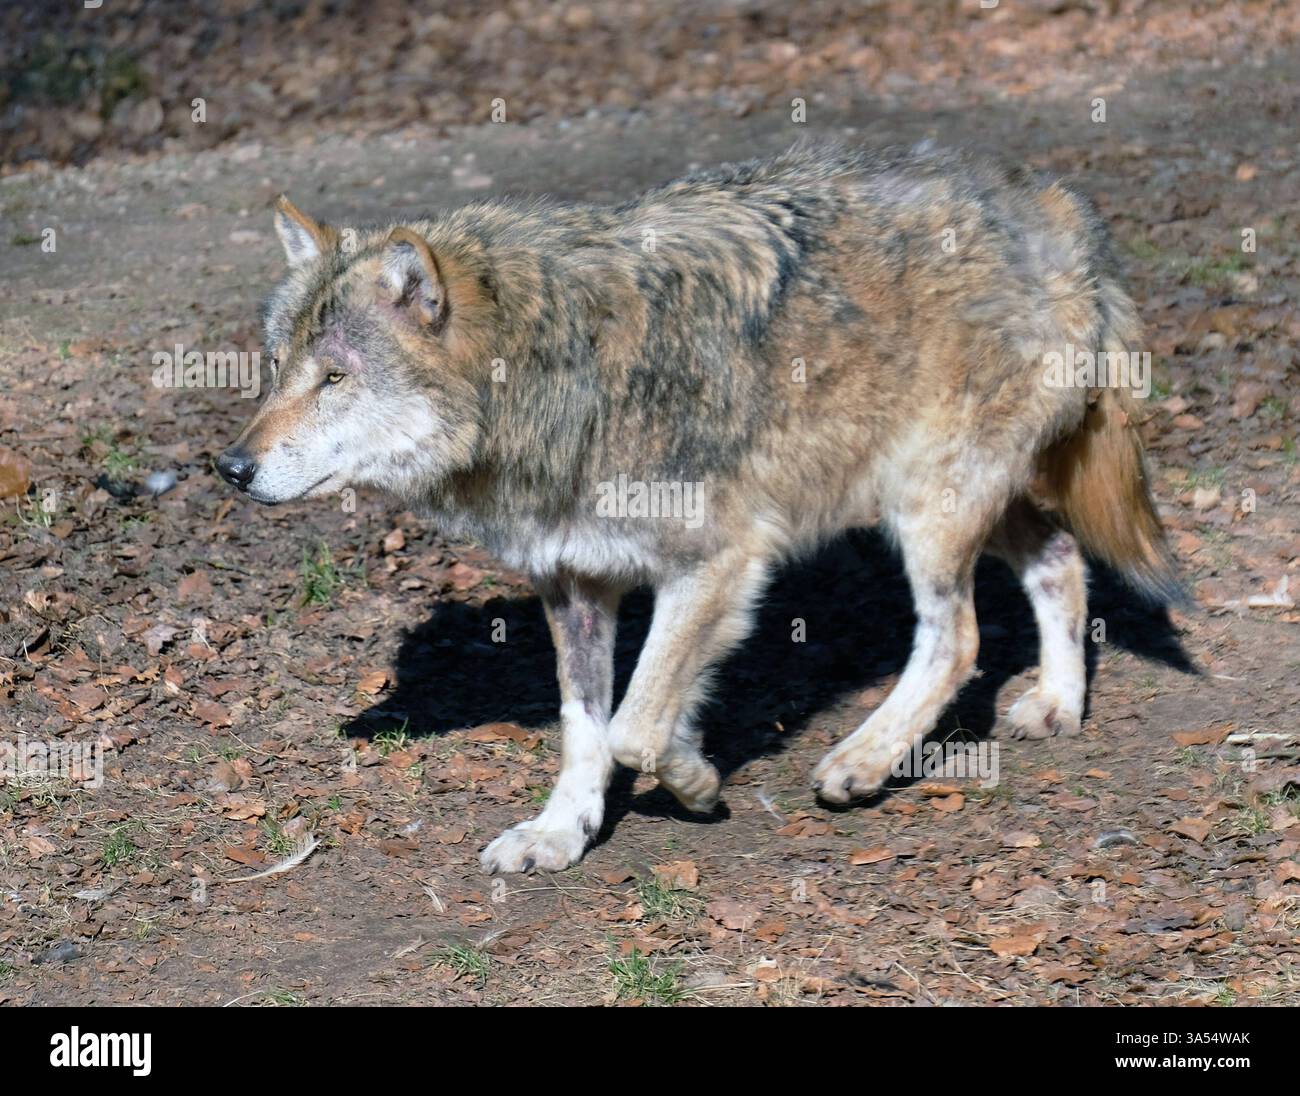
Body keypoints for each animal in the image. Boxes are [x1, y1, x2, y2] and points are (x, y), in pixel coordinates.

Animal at [218, 143, 1179, 874]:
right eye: (277, 368)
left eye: (335, 378)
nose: (230, 466)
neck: (555, 368)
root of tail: (1054, 206)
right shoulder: (573, 583)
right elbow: (584, 728)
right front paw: (560, 833)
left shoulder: (719, 564)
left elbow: (636, 727)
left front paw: (690, 776)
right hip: (965, 498)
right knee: (1061, 562)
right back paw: (1057, 704)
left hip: (928, 510)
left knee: (960, 640)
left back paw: (862, 761)